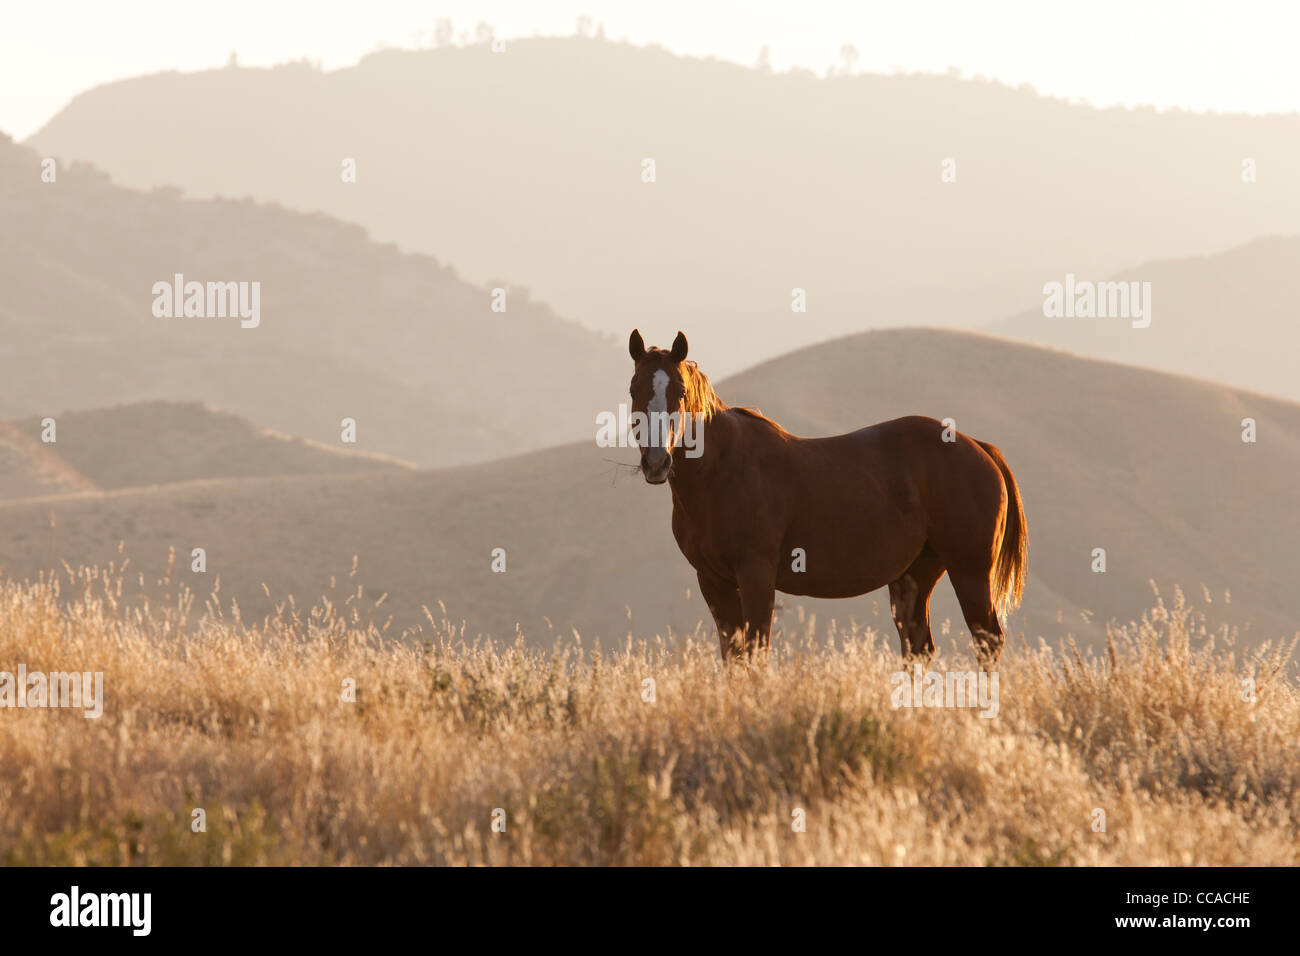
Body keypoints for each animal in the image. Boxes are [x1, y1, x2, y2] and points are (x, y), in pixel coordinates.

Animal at [626, 329, 1027, 667]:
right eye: (634, 390)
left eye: (680, 391)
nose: (657, 463)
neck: (723, 471)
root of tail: (981, 448)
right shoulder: (713, 580)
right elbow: (734, 657)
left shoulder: (756, 575)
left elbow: (755, 654)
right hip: (916, 574)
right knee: (918, 648)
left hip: (970, 572)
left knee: (987, 643)